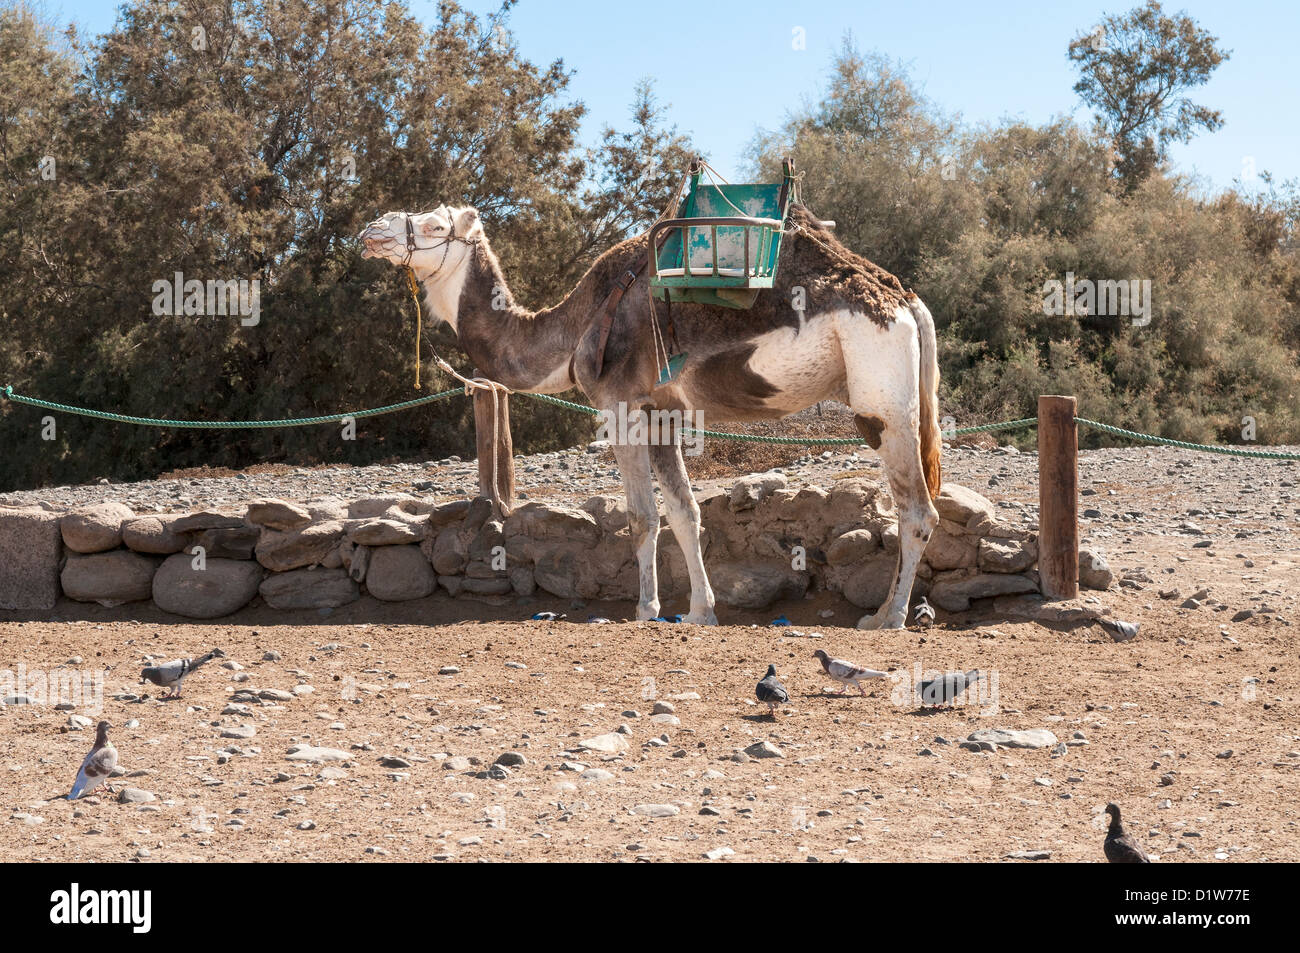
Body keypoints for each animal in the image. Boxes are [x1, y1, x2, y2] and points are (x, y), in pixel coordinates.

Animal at [359, 202, 942, 629]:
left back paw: (886, 618)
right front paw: (701, 612)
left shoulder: (620, 406)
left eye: (434, 225)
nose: (372, 229)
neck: (575, 328)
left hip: (881, 402)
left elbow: (642, 516)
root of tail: (907, 301)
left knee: (917, 510)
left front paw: (646, 610)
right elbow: (685, 513)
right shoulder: (661, 412)